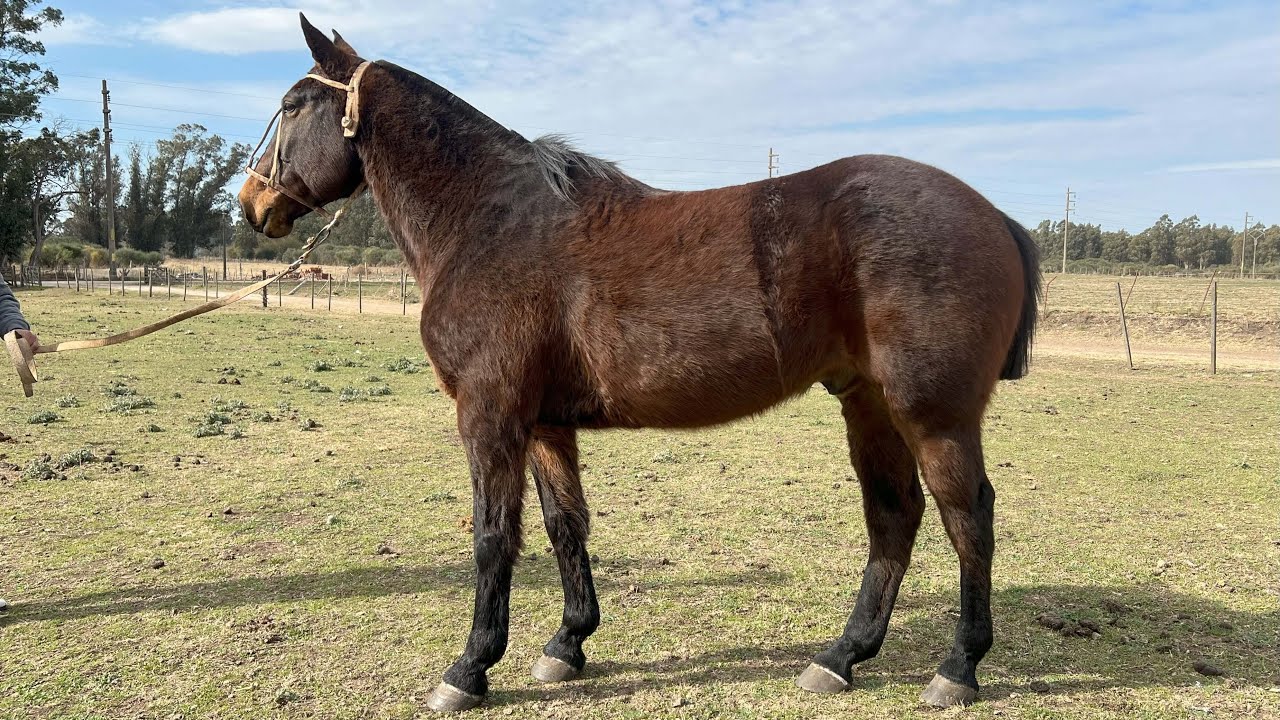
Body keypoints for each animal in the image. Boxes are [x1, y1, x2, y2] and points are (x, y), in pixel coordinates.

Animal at [238, 14, 1042, 713]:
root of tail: (994, 215)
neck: (490, 222)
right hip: (868, 404)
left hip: (933, 417)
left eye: (291, 105)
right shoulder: (544, 426)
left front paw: (469, 669)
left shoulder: (490, 415)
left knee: (967, 518)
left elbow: (493, 536)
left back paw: (957, 667)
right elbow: (565, 525)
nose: (252, 202)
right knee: (894, 515)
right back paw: (841, 657)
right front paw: (567, 644)